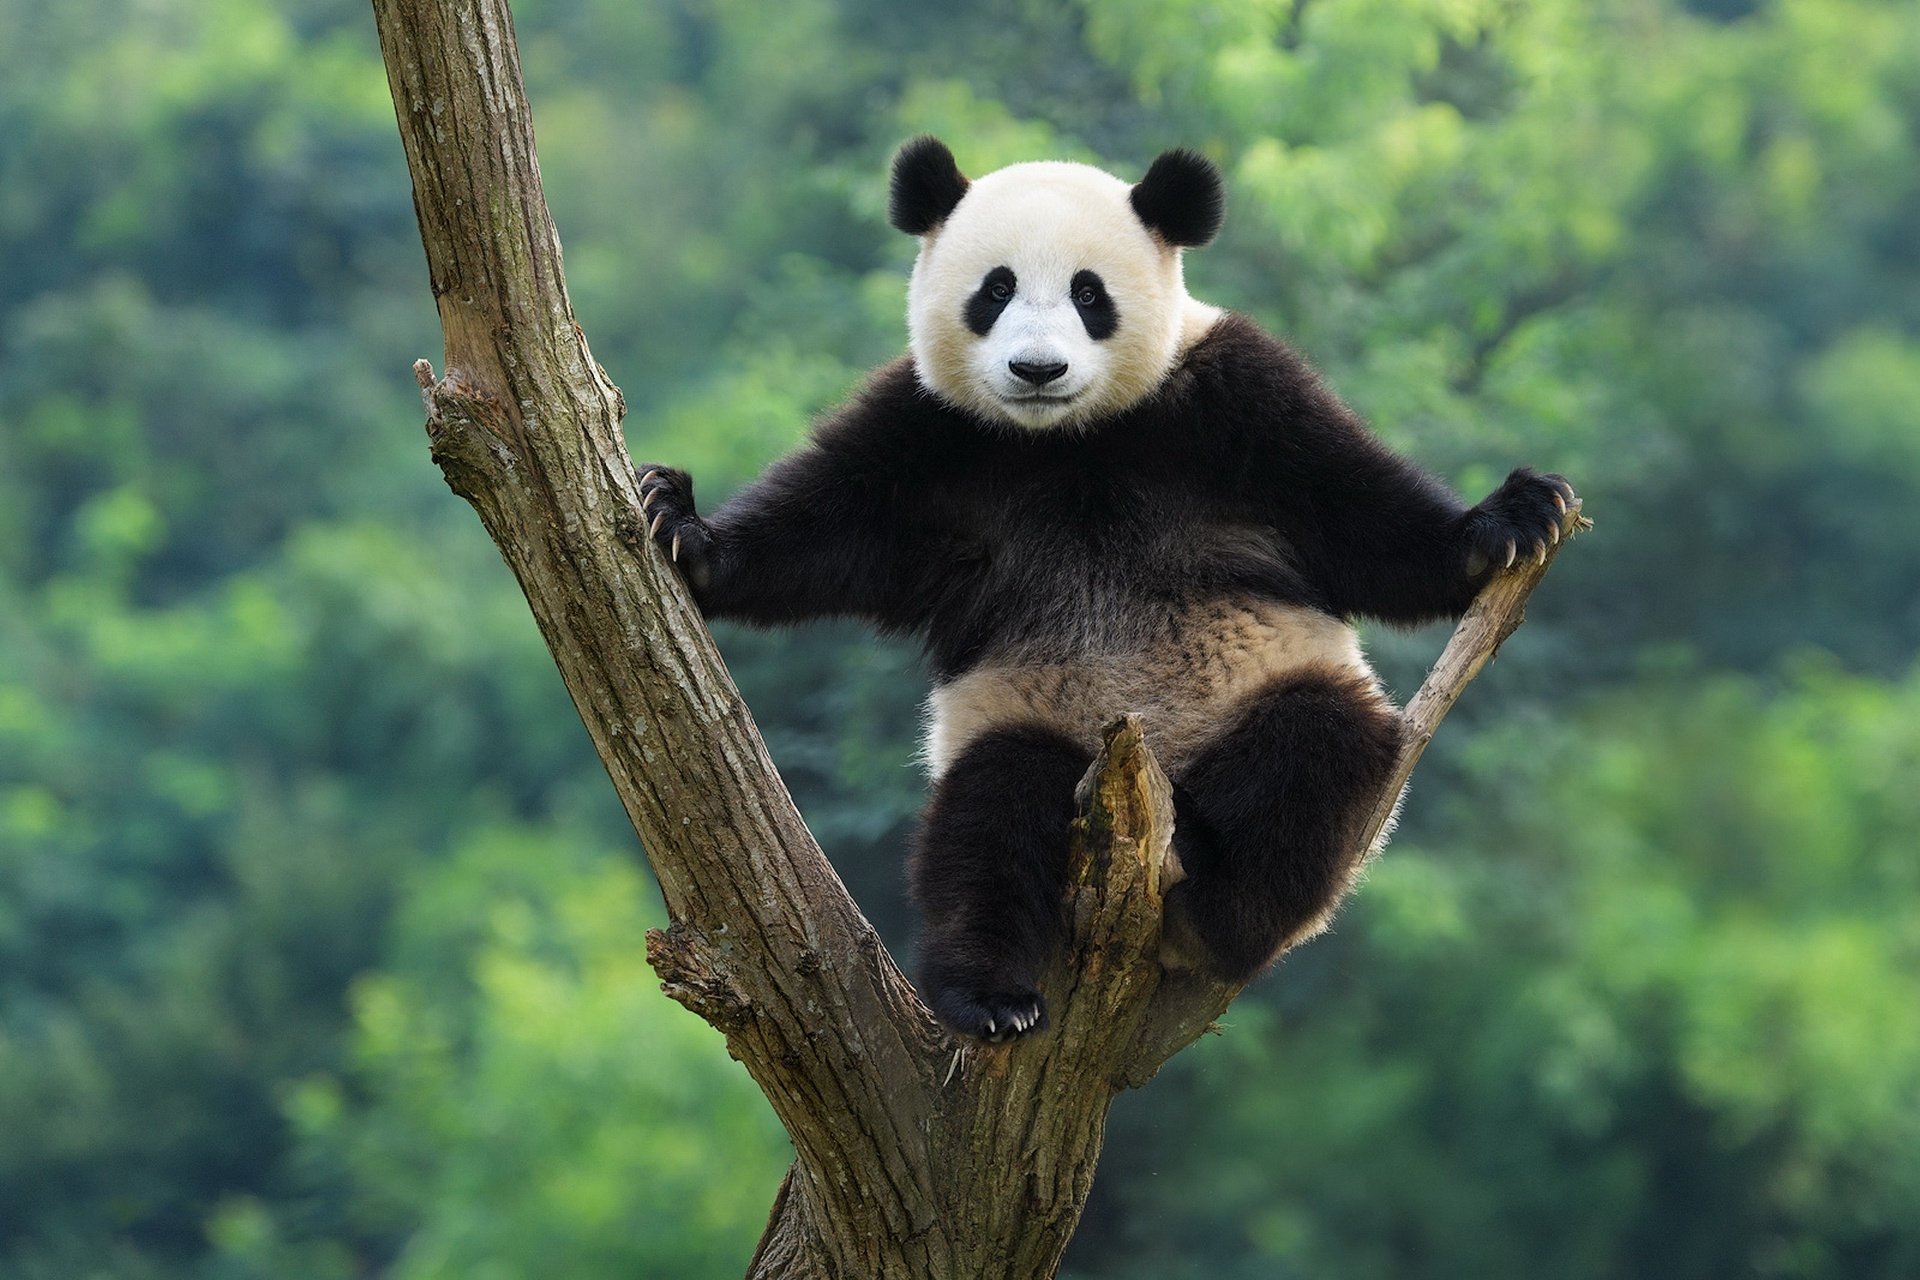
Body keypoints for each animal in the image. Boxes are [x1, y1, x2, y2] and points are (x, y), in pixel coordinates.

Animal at [637, 136, 1575, 1042]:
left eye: (1090, 294)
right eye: (996, 290)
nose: (1036, 369)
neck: (1071, 438)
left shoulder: (1231, 397)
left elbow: (1358, 516)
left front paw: (1511, 518)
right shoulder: (930, 432)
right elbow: (822, 525)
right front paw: (685, 528)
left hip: (1271, 693)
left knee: (1311, 753)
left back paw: (1220, 907)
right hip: (1027, 716)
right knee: (991, 817)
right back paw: (990, 994)